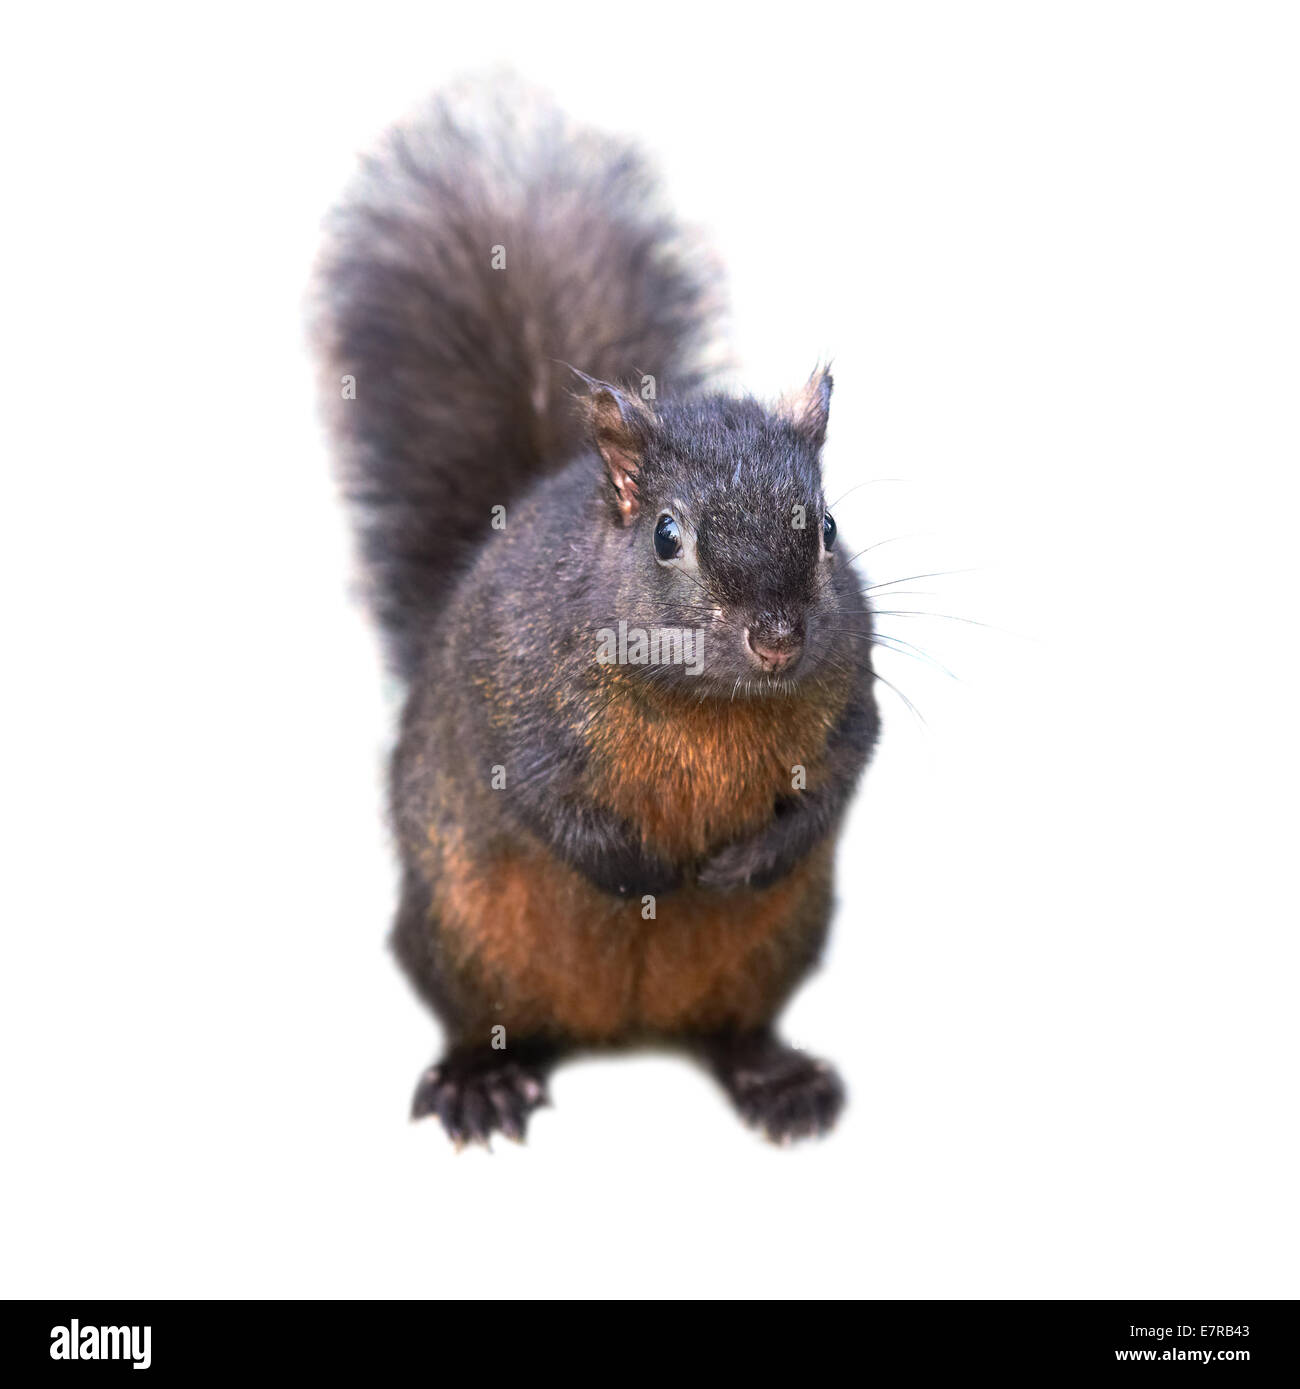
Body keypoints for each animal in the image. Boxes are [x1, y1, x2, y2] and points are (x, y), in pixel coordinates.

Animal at [312, 83, 880, 1145]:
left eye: (828, 529)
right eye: (665, 535)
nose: (778, 640)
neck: (707, 701)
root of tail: (625, 1027)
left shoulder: (852, 693)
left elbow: (840, 774)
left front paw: (743, 862)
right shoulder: (509, 690)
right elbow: (539, 795)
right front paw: (647, 877)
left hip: (775, 944)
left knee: (732, 1026)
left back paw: (773, 1075)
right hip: (459, 929)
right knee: (492, 1020)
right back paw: (483, 1079)